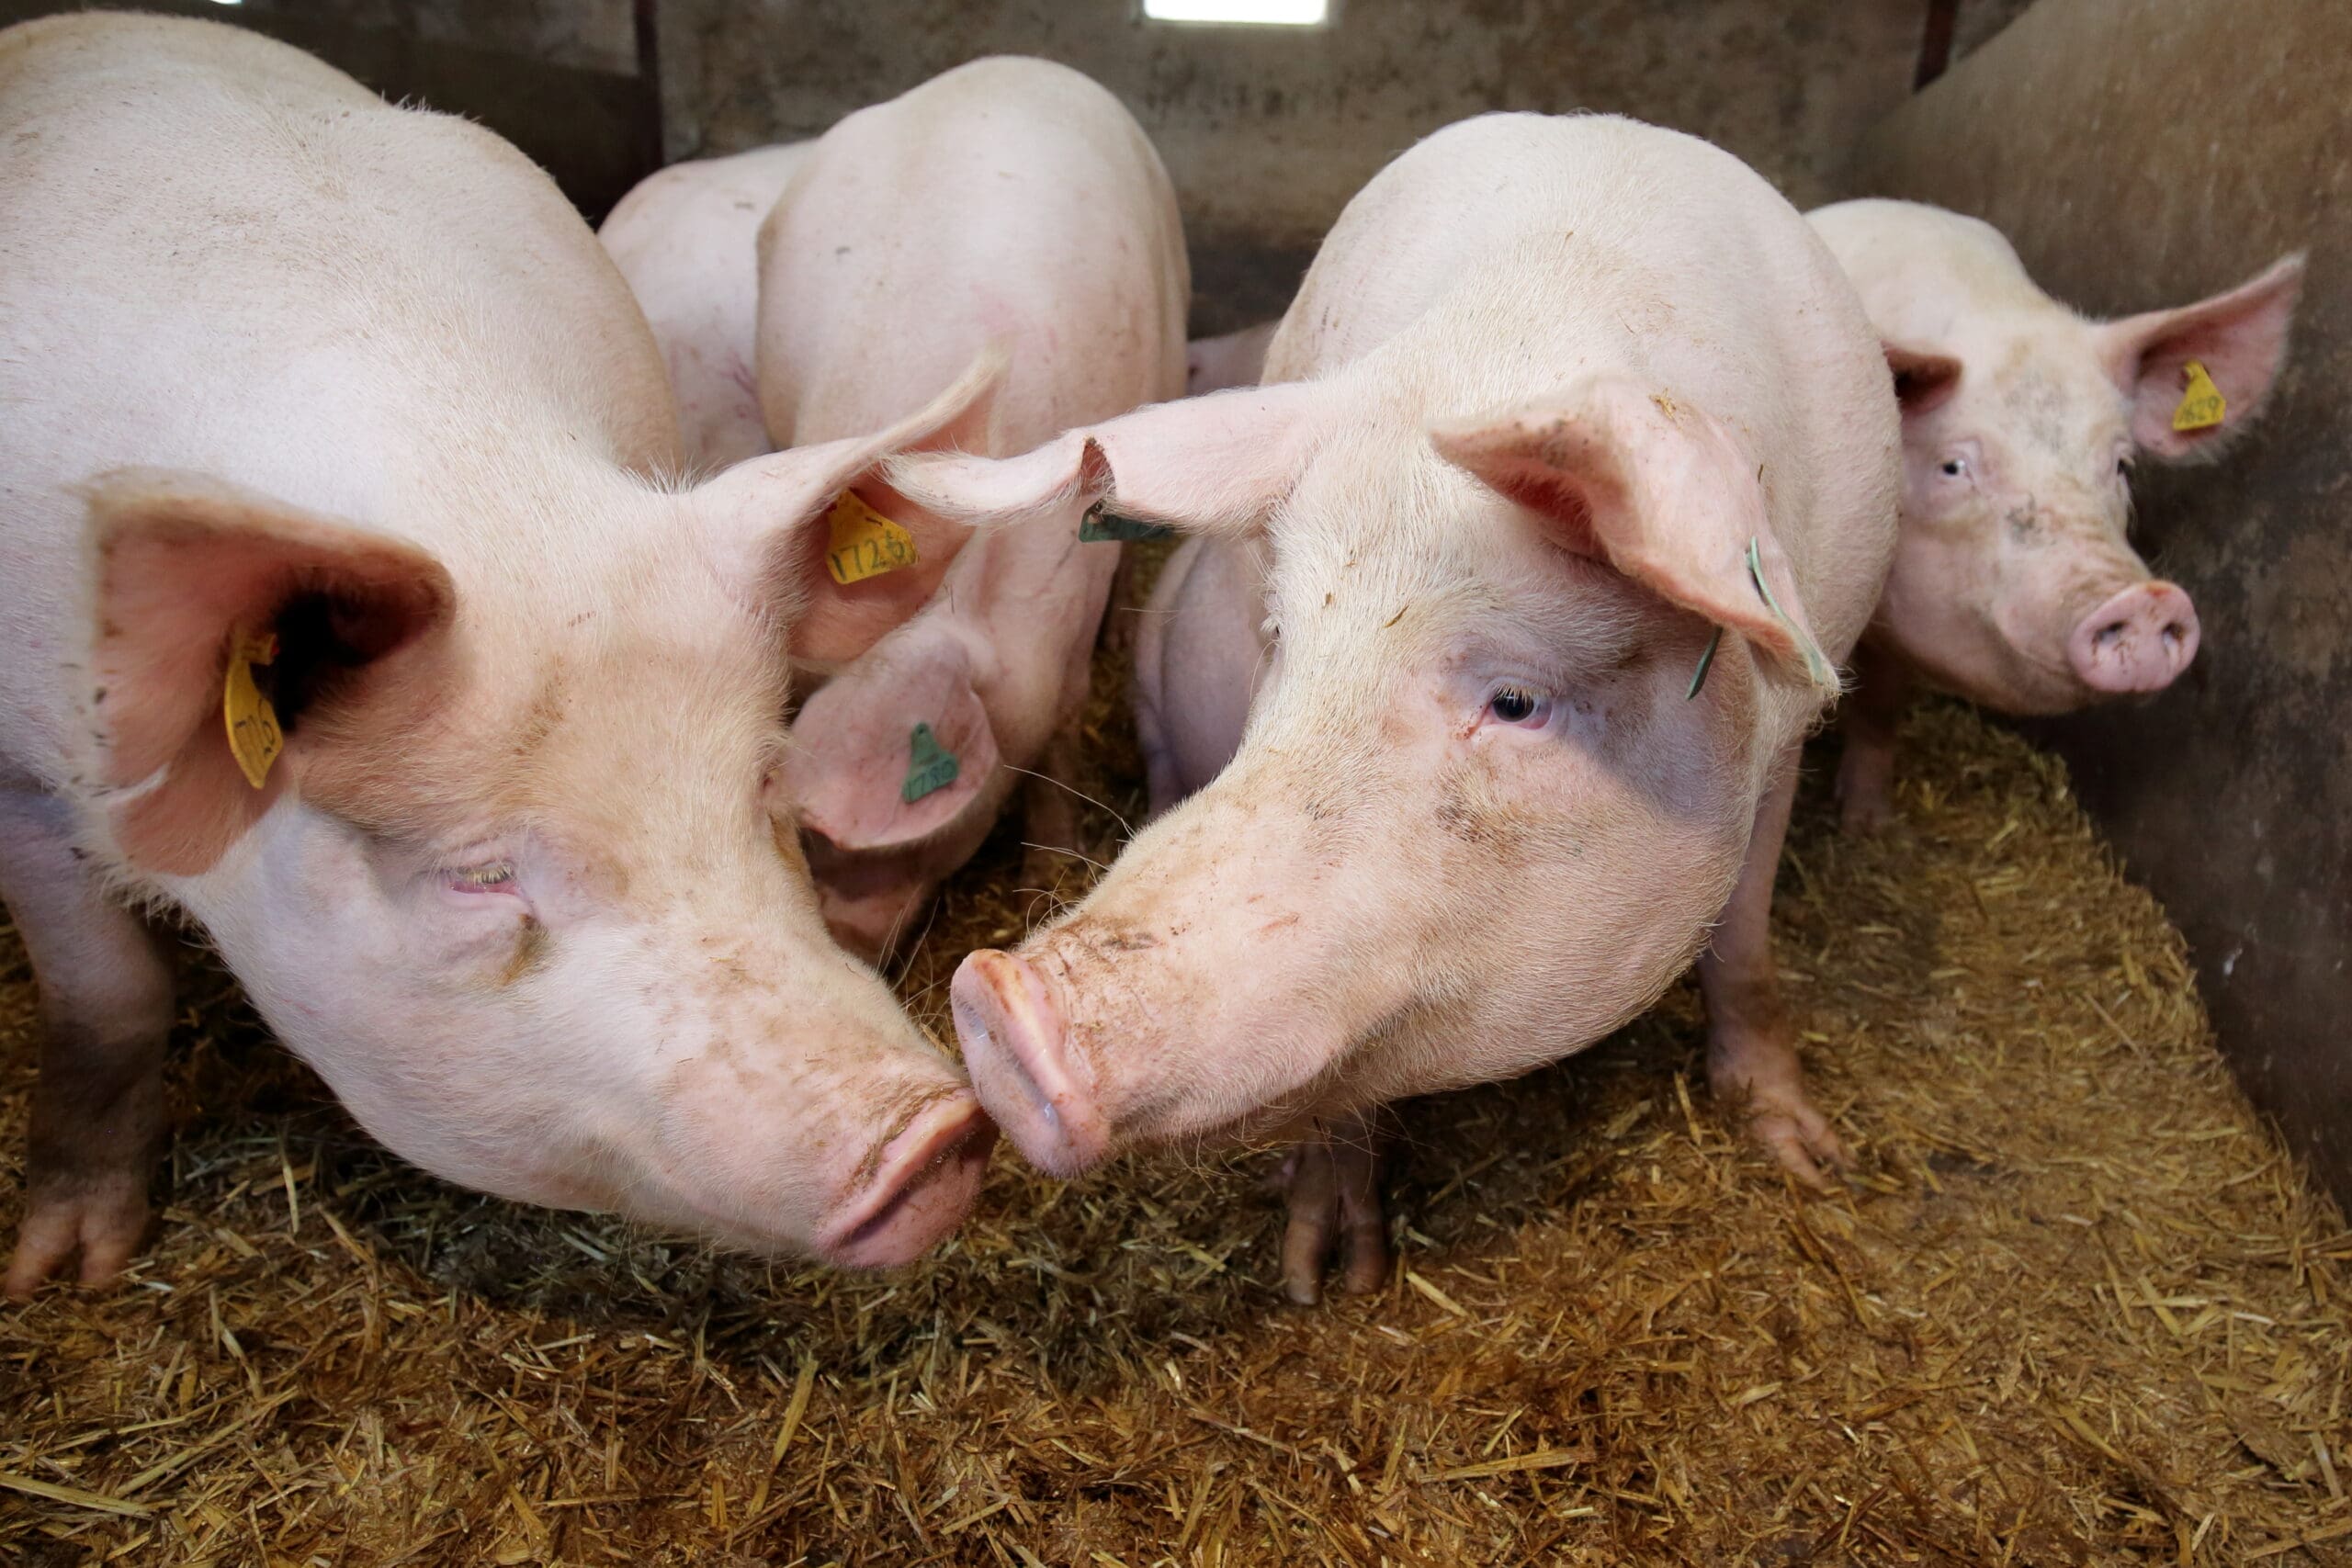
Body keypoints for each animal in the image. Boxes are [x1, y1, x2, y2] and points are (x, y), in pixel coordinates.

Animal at [0, 13, 1003, 1295]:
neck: (473, 486)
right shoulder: (16, 776)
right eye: (478, 875)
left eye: (765, 782)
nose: (935, 1133)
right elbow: (106, 993)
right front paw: (67, 1272)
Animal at [604, 58, 1189, 963]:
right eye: (804, 839)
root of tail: (1005, 66)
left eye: (887, 838)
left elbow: (1060, 725)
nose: (846, 941)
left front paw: (1045, 871)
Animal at [890, 112, 1903, 1302]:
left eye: (1515, 699)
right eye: (1280, 638)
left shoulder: (1788, 734)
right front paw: (1326, 1276)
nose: (994, 1001)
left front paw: (1809, 1160)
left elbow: (1742, 939)